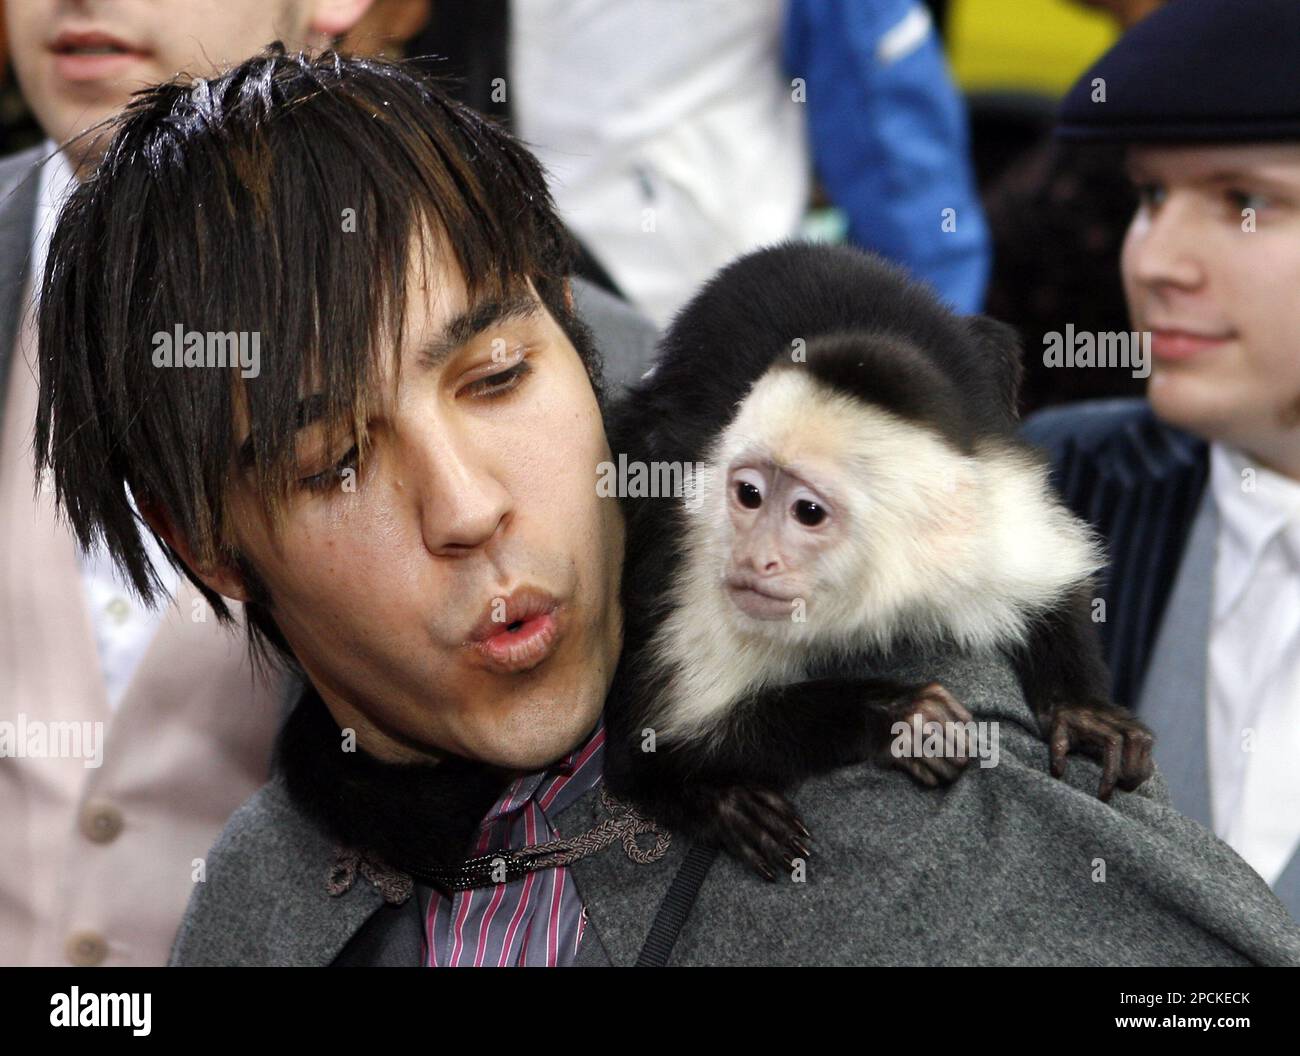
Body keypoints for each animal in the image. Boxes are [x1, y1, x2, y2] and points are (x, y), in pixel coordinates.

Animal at [602, 241, 1155, 880]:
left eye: (807, 512)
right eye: (749, 496)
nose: (754, 558)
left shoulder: (982, 521)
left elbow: (1054, 581)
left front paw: (1083, 710)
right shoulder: (704, 563)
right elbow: (654, 742)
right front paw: (897, 716)